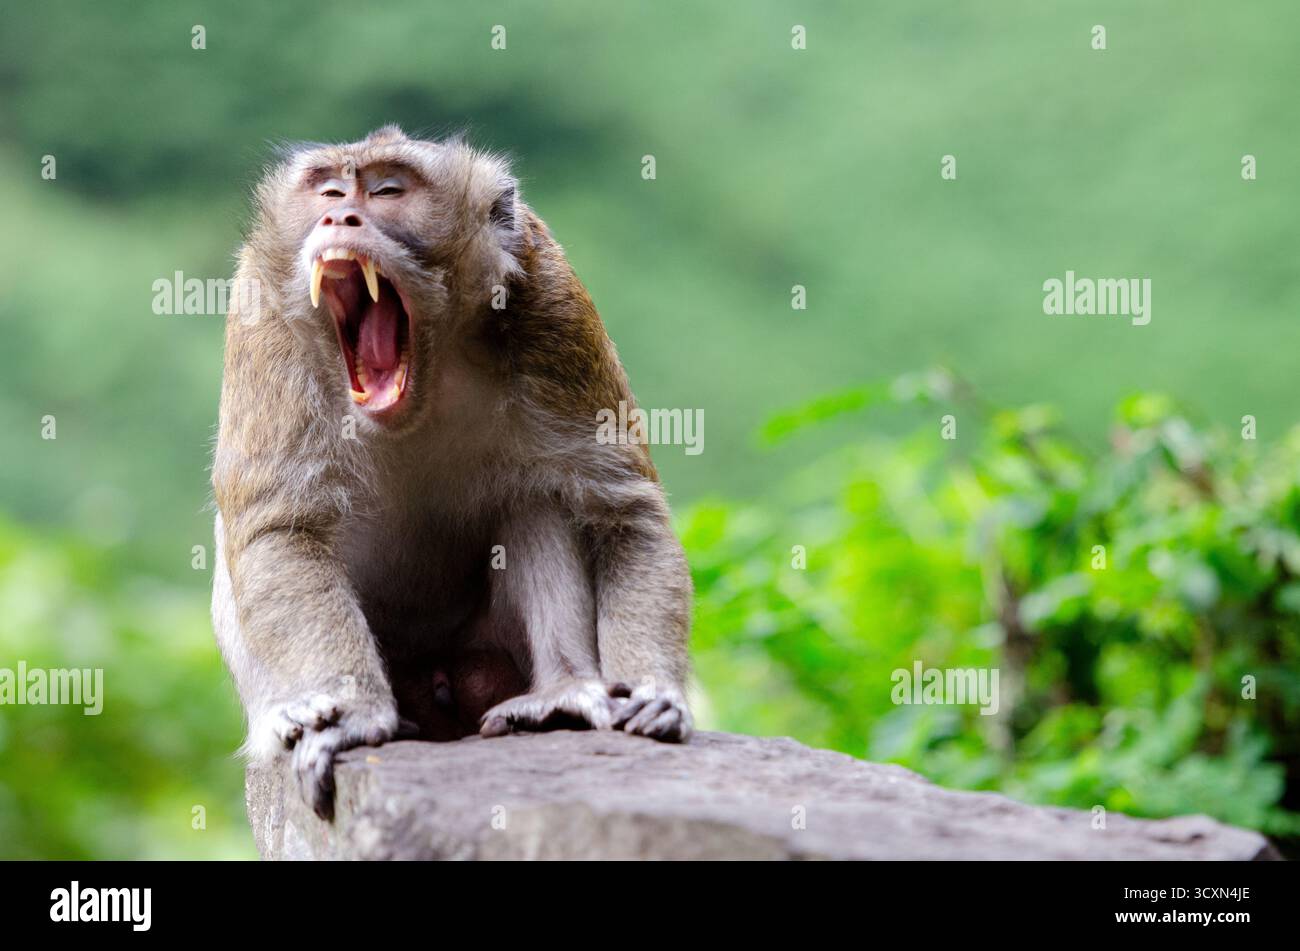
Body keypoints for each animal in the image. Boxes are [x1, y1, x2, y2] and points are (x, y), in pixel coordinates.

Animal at [210, 125, 693, 819]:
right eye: (328, 191)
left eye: (388, 190)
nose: (338, 217)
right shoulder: (261, 315)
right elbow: (280, 527)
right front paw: (354, 713)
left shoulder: (552, 300)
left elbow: (623, 509)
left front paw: (655, 691)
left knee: (537, 502)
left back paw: (563, 691)